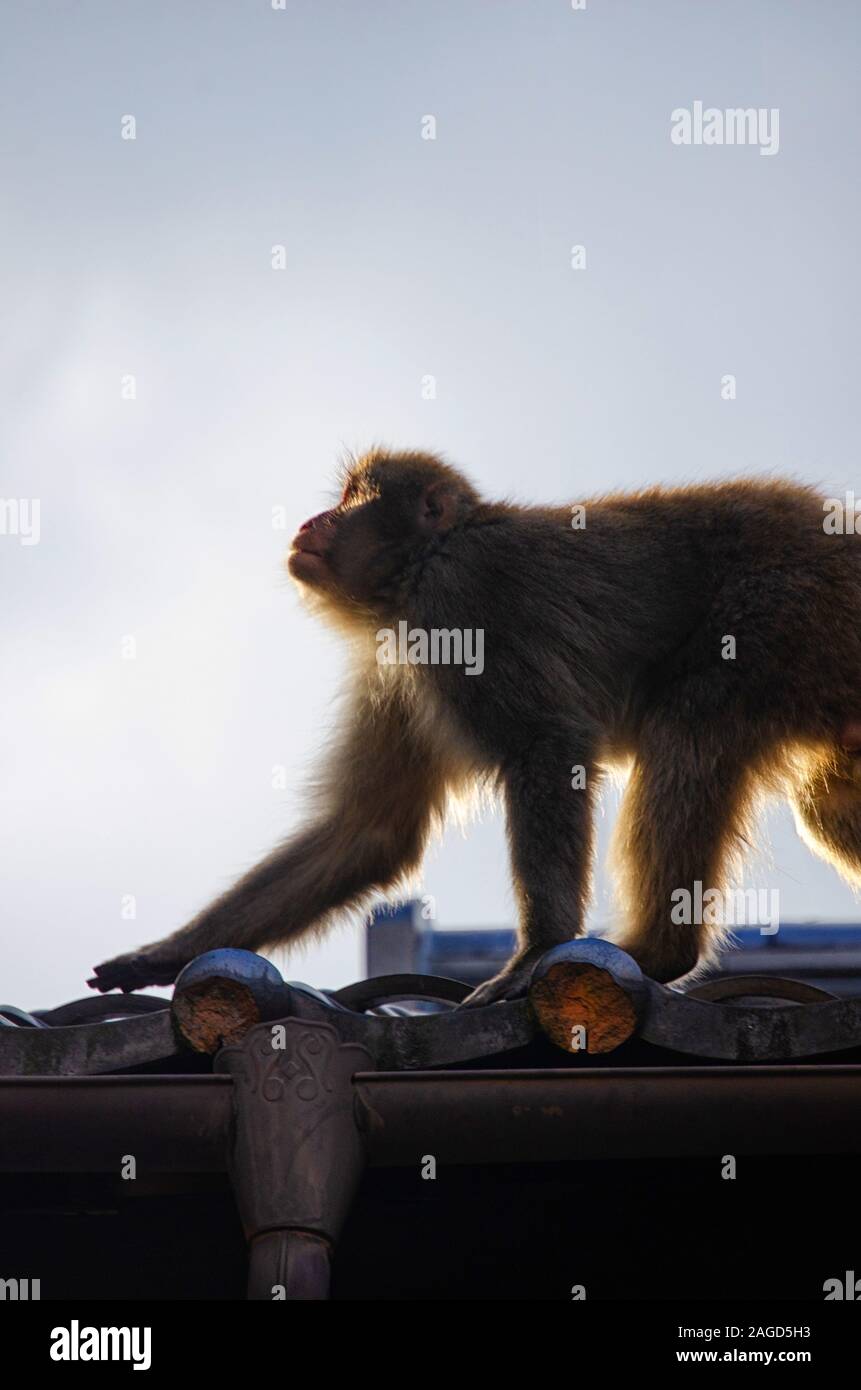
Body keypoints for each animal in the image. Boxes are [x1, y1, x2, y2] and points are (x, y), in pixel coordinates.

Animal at [89, 448, 861, 1005]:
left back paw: (658, 955)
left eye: (352, 499)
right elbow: (370, 830)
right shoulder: (395, 668)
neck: (422, 565)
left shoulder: (458, 601)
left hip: (782, 613)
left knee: (691, 727)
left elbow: (546, 745)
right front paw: (168, 953)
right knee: (824, 805)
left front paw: (539, 952)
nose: (310, 522)